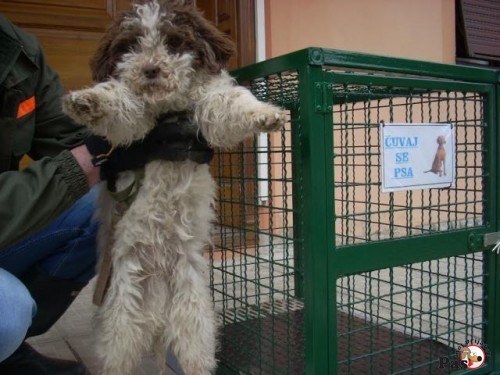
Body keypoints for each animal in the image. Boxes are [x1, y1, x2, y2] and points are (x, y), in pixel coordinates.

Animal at [60, 0, 286, 375]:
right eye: (131, 45)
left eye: (174, 41)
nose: (151, 70)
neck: (166, 109)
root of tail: (158, 318)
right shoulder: (136, 121)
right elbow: (120, 104)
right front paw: (88, 100)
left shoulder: (207, 107)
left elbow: (229, 104)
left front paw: (265, 114)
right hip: (120, 323)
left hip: (193, 321)